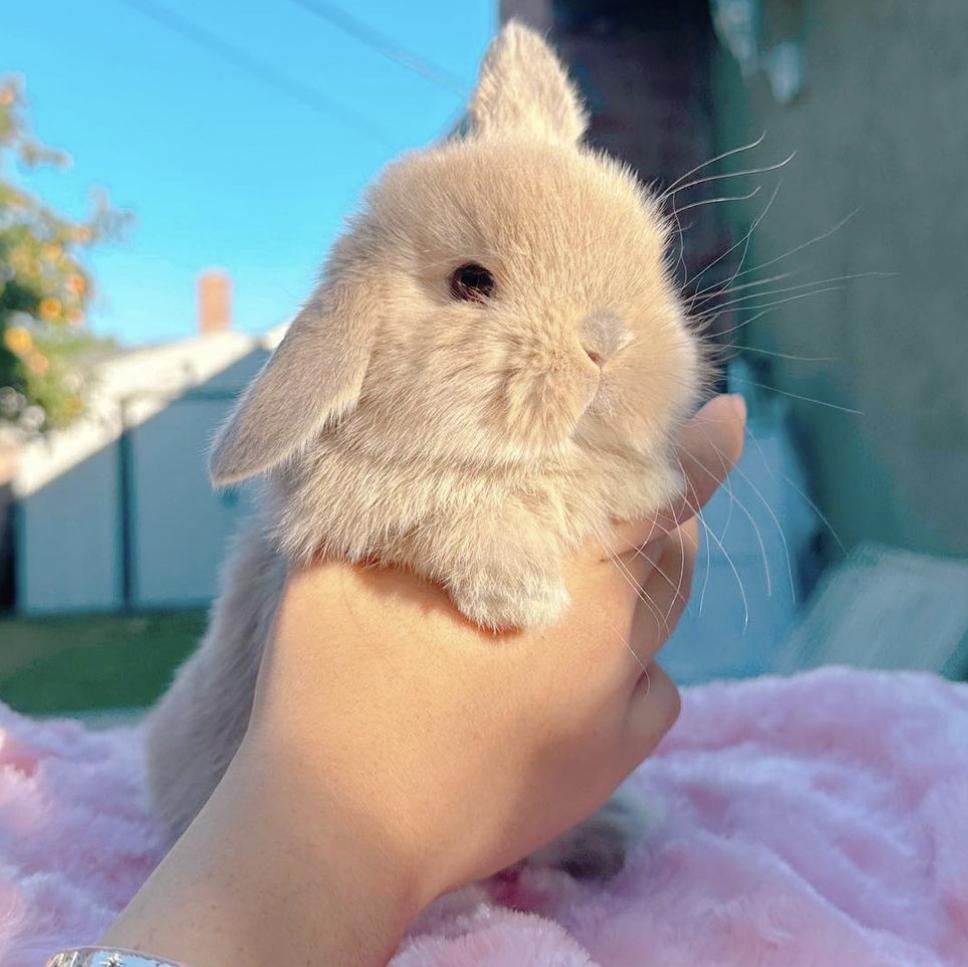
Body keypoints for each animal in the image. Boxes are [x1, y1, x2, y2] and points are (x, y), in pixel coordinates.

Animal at [145, 20, 704, 881]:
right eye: (471, 281)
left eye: (648, 251)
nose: (609, 342)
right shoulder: (356, 512)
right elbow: (440, 506)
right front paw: (521, 596)